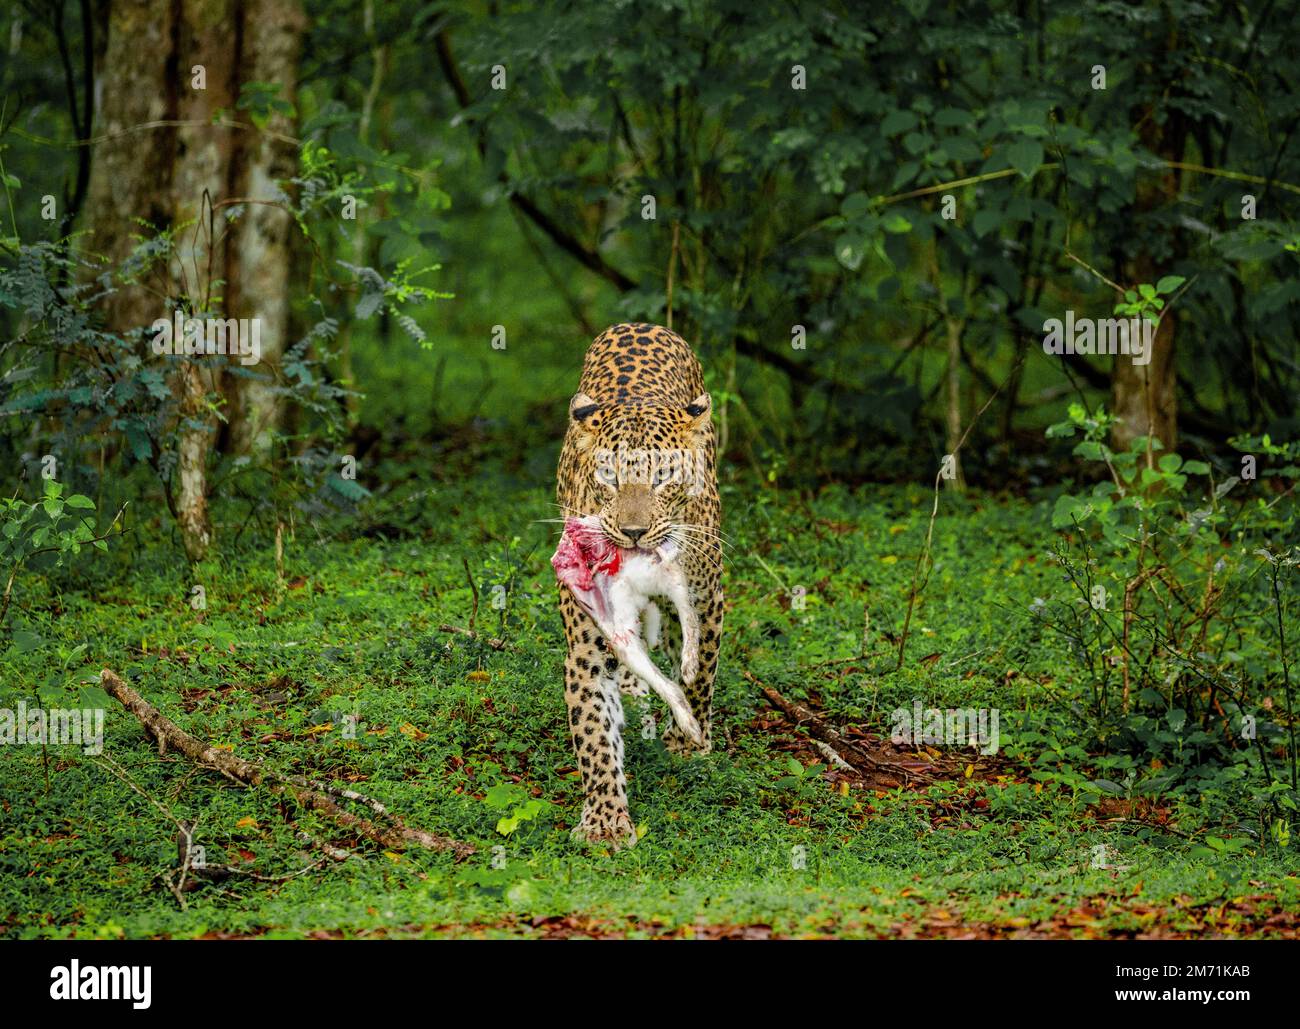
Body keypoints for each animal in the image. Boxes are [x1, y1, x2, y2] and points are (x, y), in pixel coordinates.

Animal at [555, 323, 724, 850]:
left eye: (664, 475)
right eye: (609, 476)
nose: (632, 532)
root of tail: (640, 324)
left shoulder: (706, 600)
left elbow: (700, 671)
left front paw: (688, 741)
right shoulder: (587, 644)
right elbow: (593, 729)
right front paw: (606, 819)